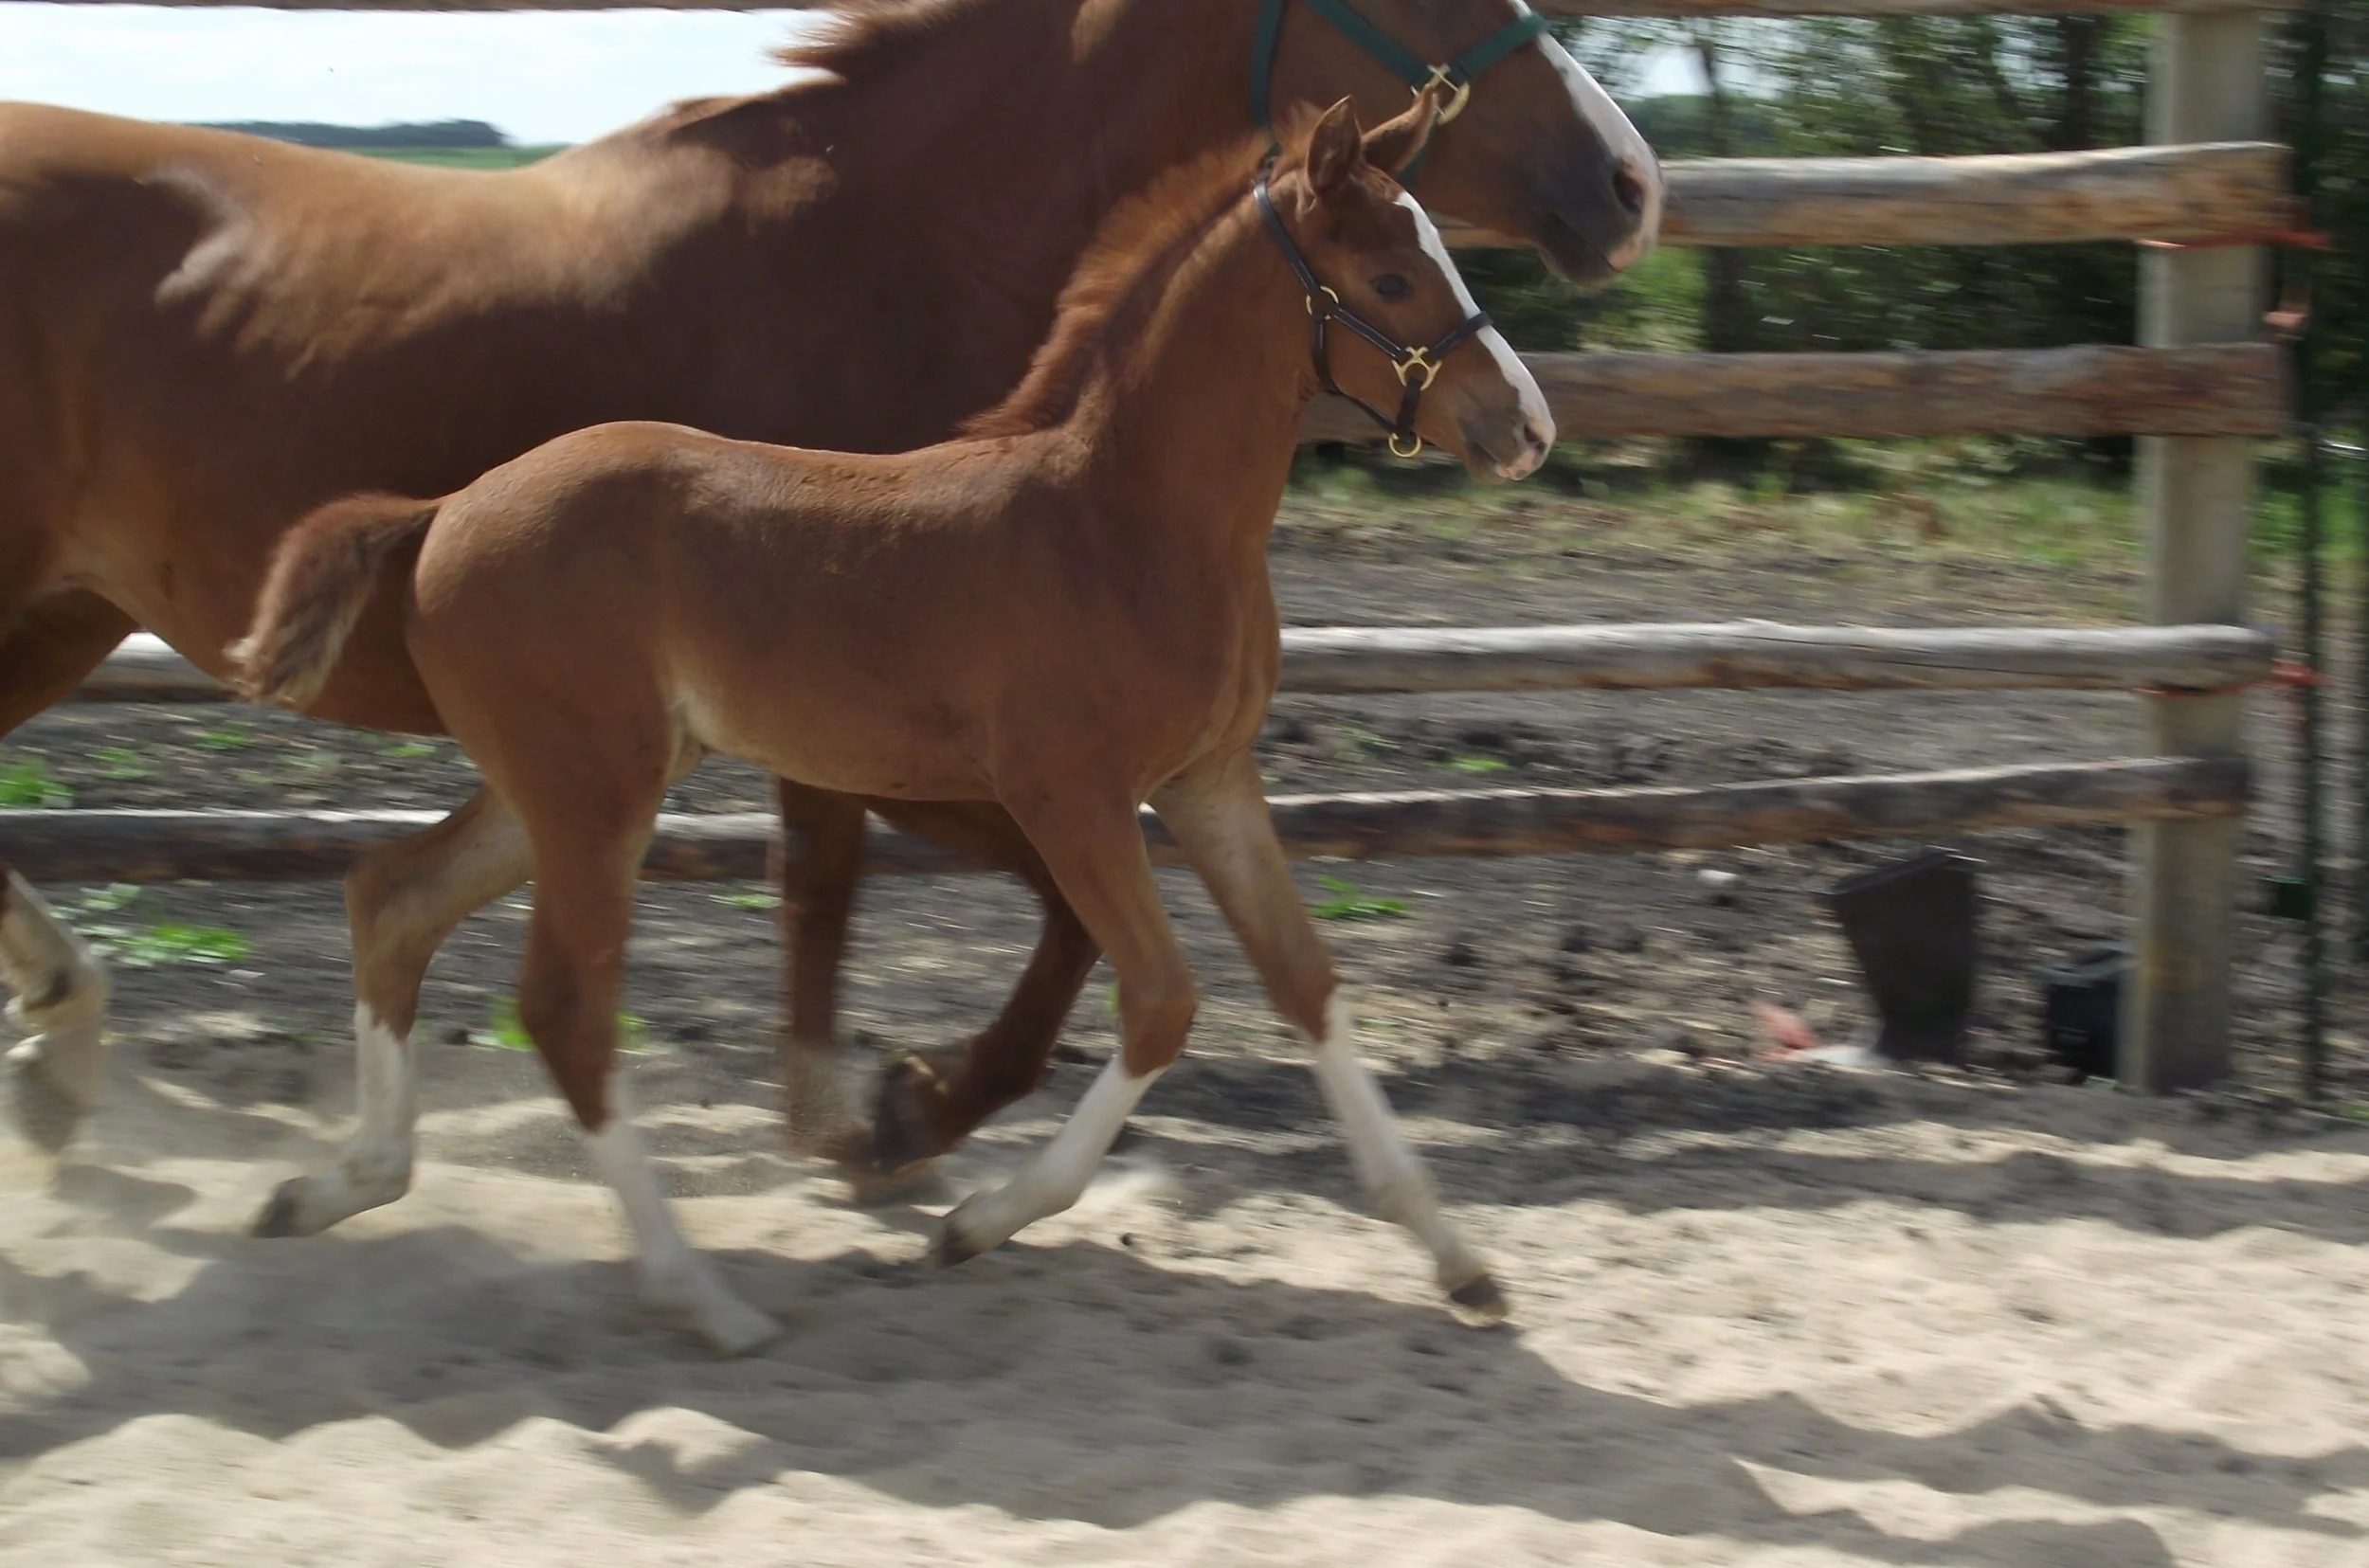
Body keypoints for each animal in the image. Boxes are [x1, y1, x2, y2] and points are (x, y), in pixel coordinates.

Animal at [0, 0, 1659, 1213]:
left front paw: (890, 1111)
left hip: (104, 621)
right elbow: (974, 918)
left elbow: (1027, 922)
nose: (1632, 184)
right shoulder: (946, 739)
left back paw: (107, 1070)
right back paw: (77, 1053)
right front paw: (897, 1117)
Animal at [233, 99, 1550, 1352]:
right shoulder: (1070, 792)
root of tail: (445, 506)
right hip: (593, 790)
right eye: (1390, 276)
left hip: (554, 784)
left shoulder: (1209, 780)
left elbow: (1305, 977)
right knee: (562, 1004)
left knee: (394, 898)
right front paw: (980, 1218)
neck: (1121, 521)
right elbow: (1162, 999)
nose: (1525, 425)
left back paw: (337, 1184)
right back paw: (701, 1296)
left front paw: (1459, 1258)